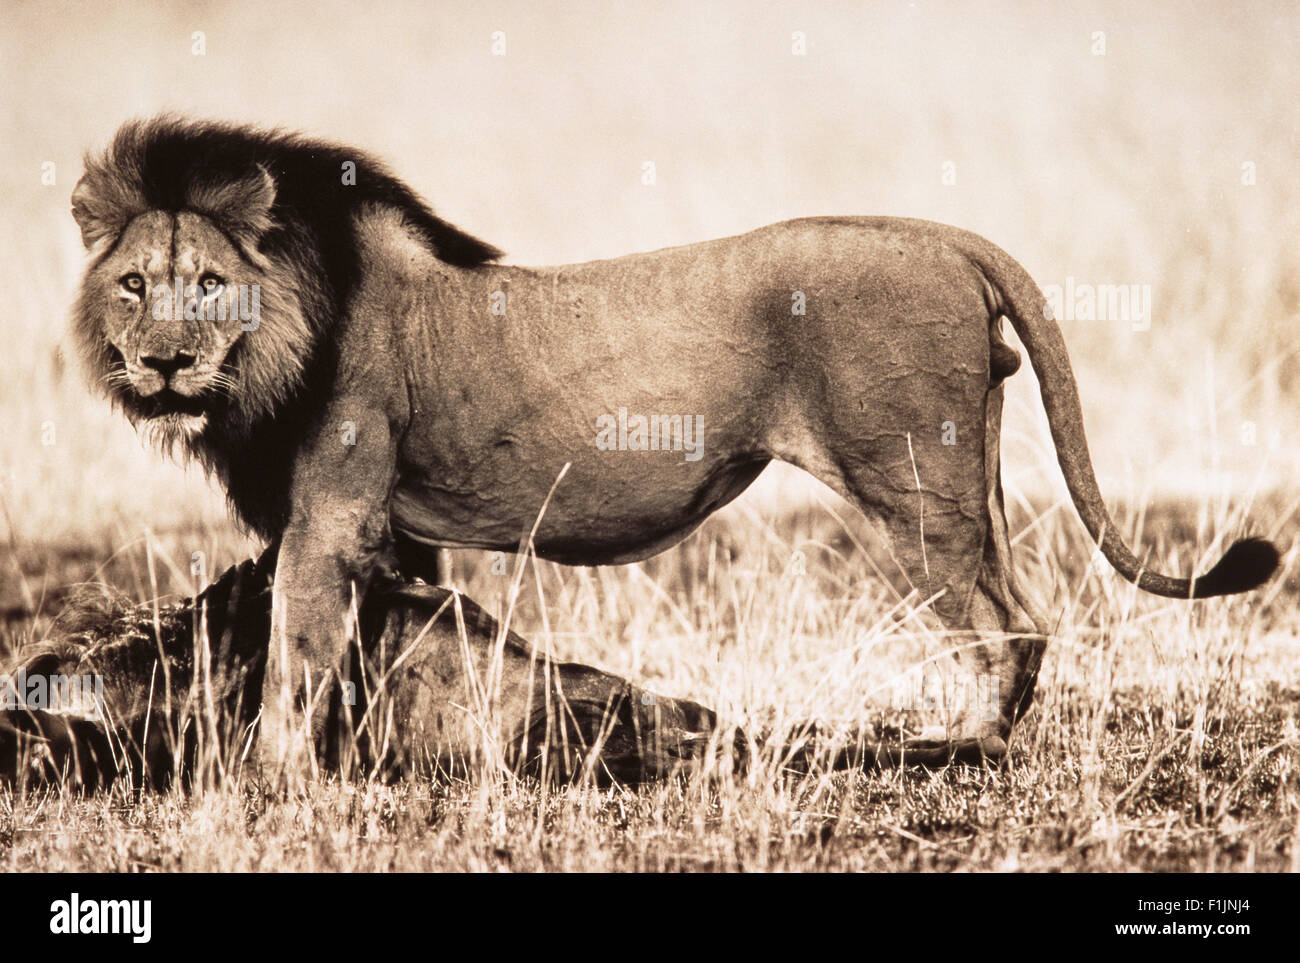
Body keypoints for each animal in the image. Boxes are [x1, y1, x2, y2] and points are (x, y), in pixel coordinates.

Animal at [69, 117, 1279, 773]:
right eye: (134, 285)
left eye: (207, 284)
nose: (164, 364)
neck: (288, 329)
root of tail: (943, 234)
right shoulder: (388, 533)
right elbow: (385, 649)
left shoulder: (327, 515)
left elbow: (296, 656)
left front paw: (270, 782)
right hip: (964, 475)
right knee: (1018, 609)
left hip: (909, 486)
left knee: (1009, 625)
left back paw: (959, 746)